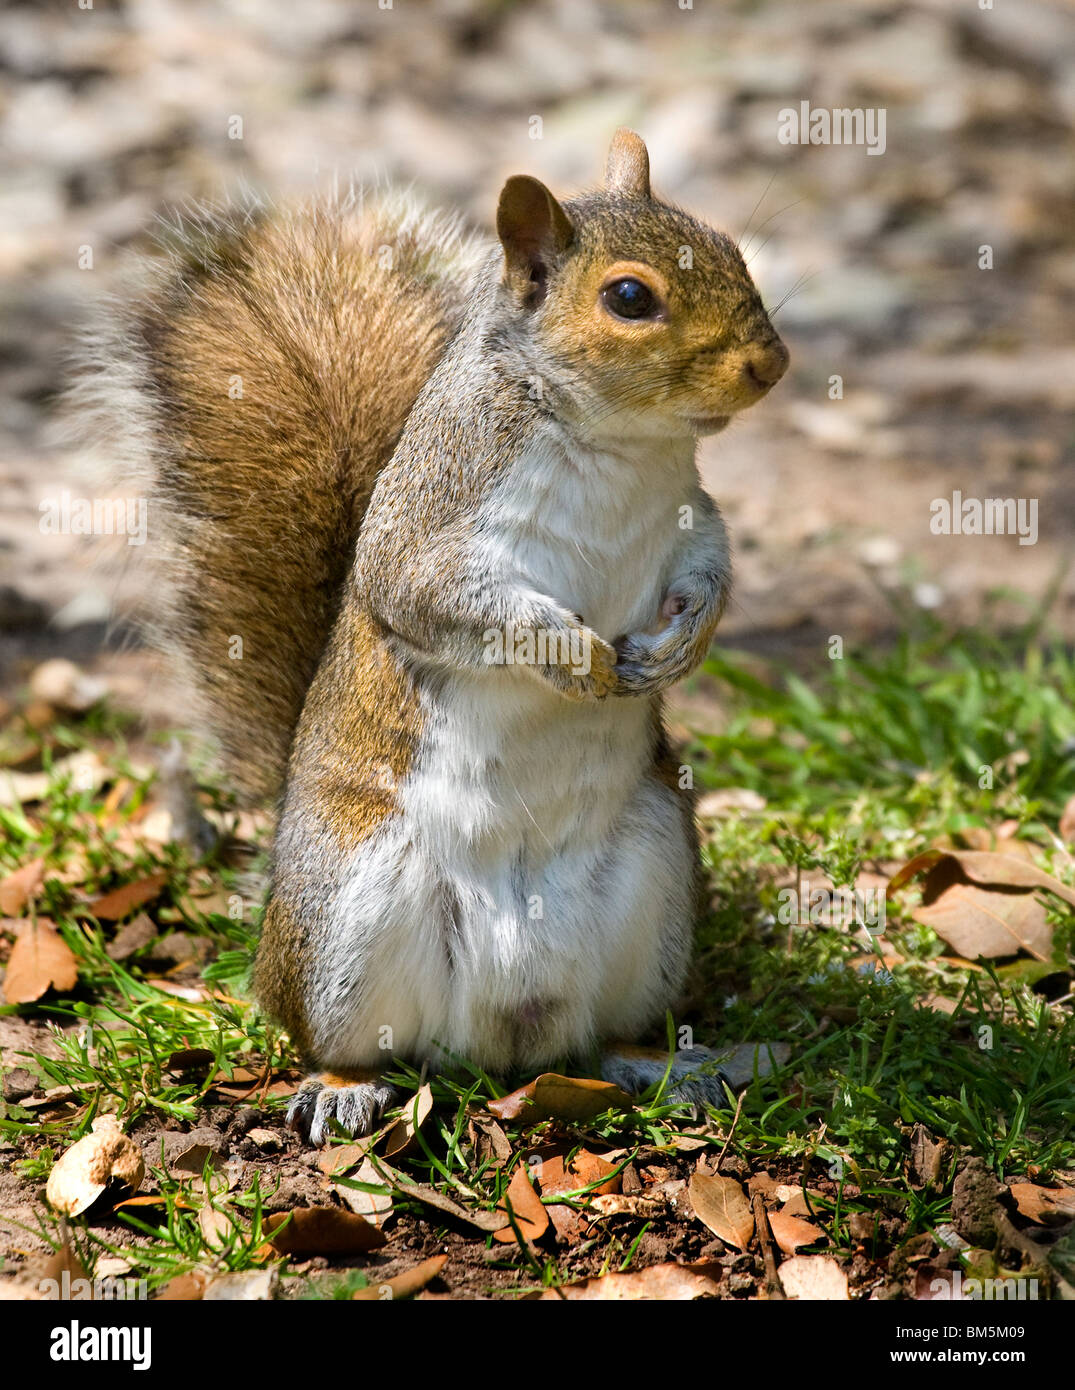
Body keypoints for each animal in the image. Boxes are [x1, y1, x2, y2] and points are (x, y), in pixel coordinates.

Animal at [76, 131, 788, 1143]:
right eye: (629, 298)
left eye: (730, 248)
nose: (771, 364)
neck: (617, 444)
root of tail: (500, 1042)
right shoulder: (432, 524)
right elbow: (436, 595)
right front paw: (569, 652)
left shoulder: (692, 518)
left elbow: (710, 570)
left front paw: (679, 646)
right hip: (347, 905)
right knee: (341, 1037)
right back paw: (342, 1088)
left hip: (656, 885)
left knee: (604, 1038)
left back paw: (673, 1065)